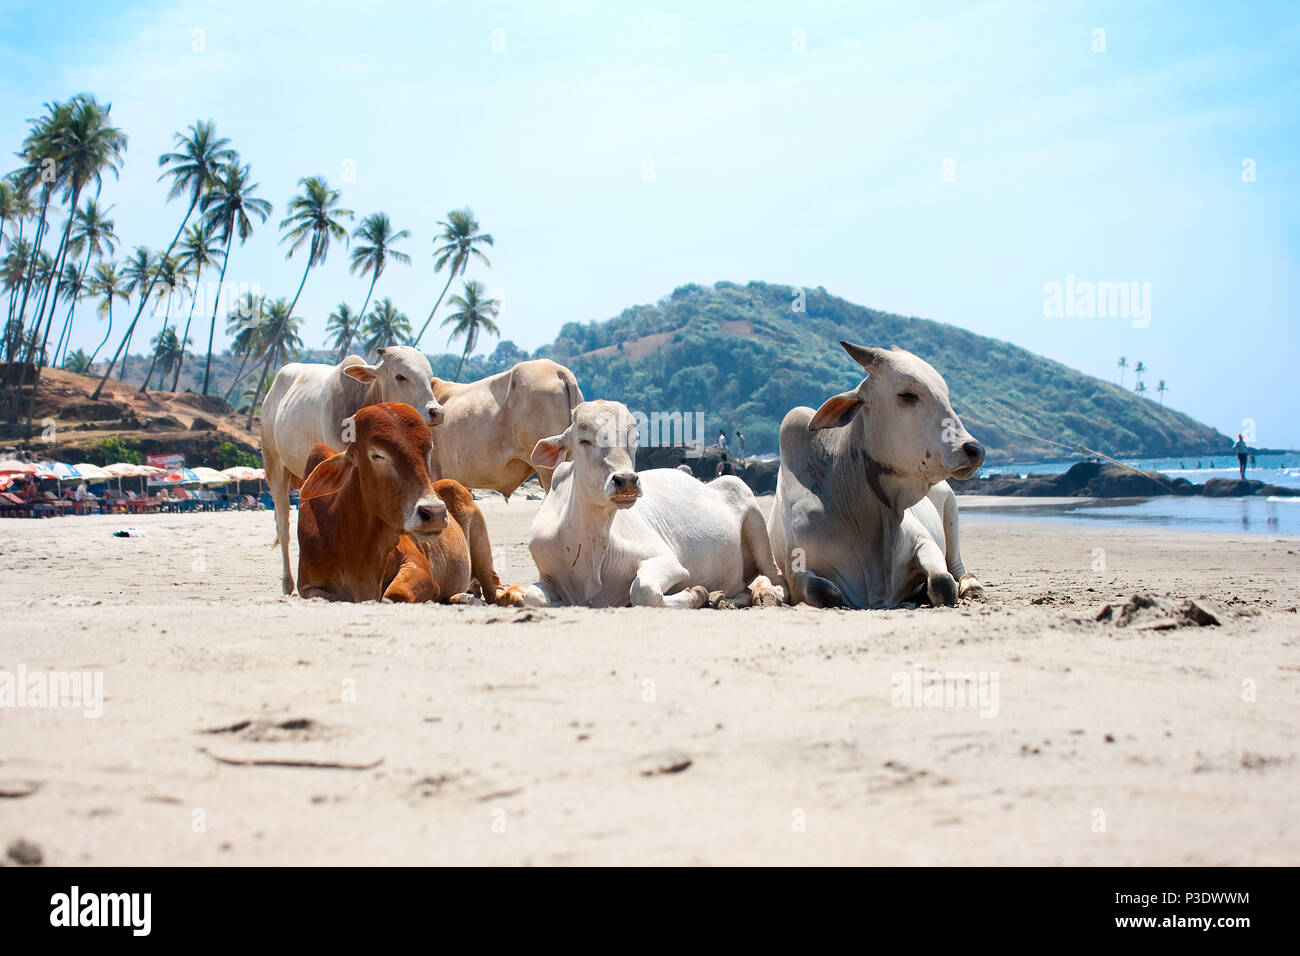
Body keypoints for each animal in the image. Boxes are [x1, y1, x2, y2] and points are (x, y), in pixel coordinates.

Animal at [261, 346, 444, 595]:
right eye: (400, 376)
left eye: (429, 376)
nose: (436, 412)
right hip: (275, 466)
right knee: (283, 522)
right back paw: (288, 583)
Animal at [295, 402, 523, 605]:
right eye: (377, 455)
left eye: (428, 452)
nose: (435, 513)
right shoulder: (306, 587)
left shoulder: (418, 565)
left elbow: (394, 594)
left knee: (493, 588)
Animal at [523, 400, 784, 608]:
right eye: (584, 440)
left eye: (634, 439)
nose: (626, 480)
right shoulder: (547, 573)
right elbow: (532, 597)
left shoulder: (666, 561)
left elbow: (643, 591)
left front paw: (696, 593)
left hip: (749, 507)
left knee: (776, 578)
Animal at [769, 341, 985, 609]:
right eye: (907, 395)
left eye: (946, 395)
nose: (974, 450)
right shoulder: (797, 569)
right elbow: (826, 593)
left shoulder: (923, 540)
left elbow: (943, 583)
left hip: (951, 510)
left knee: (957, 568)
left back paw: (973, 587)